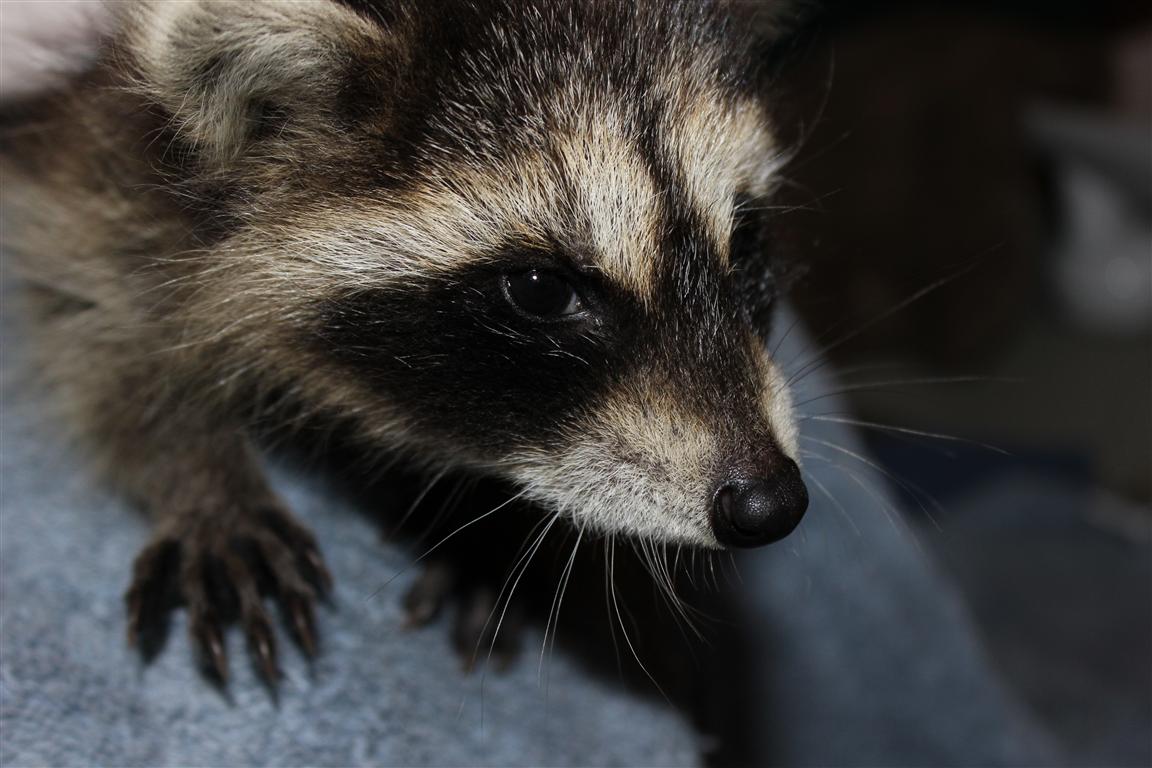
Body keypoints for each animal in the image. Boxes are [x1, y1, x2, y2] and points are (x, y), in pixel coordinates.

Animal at [0, 0, 809, 684]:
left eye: (745, 240)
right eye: (541, 289)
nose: (771, 503)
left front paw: (497, 524)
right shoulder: (102, 155)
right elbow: (93, 314)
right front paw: (198, 474)